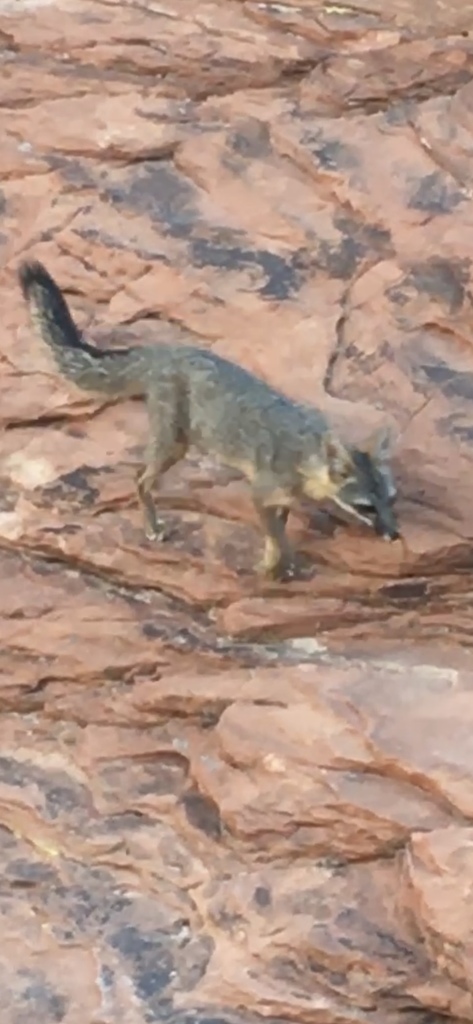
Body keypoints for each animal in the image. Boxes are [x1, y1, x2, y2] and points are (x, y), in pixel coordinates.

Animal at [18, 259, 400, 580]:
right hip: (174, 445)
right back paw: (153, 526)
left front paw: (271, 563)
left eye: (391, 501)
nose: (396, 535)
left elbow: (276, 533)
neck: (304, 453)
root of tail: (164, 349)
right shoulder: (260, 493)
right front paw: (281, 567)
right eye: (367, 507)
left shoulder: (281, 500)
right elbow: (278, 538)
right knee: (139, 477)